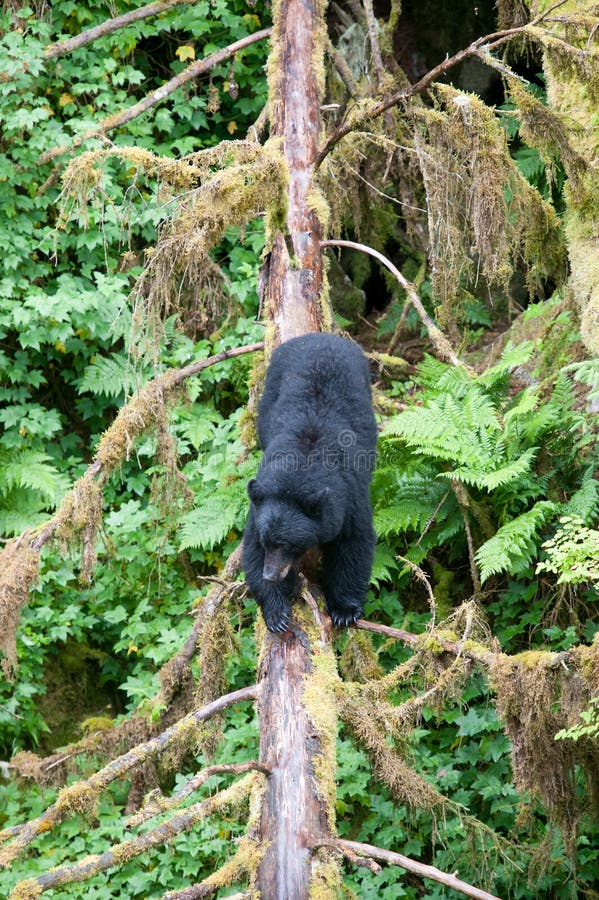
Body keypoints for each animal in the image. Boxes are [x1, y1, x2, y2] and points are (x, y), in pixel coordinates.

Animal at [242, 332, 377, 633]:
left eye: (287, 545)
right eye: (269, 542)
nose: (271, 576)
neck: (296, 475)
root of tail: (319, 336)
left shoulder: (347, 497)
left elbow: (353, 543)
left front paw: (345, 609)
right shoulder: (259, 505)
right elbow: (251, 549)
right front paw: (277, 612)